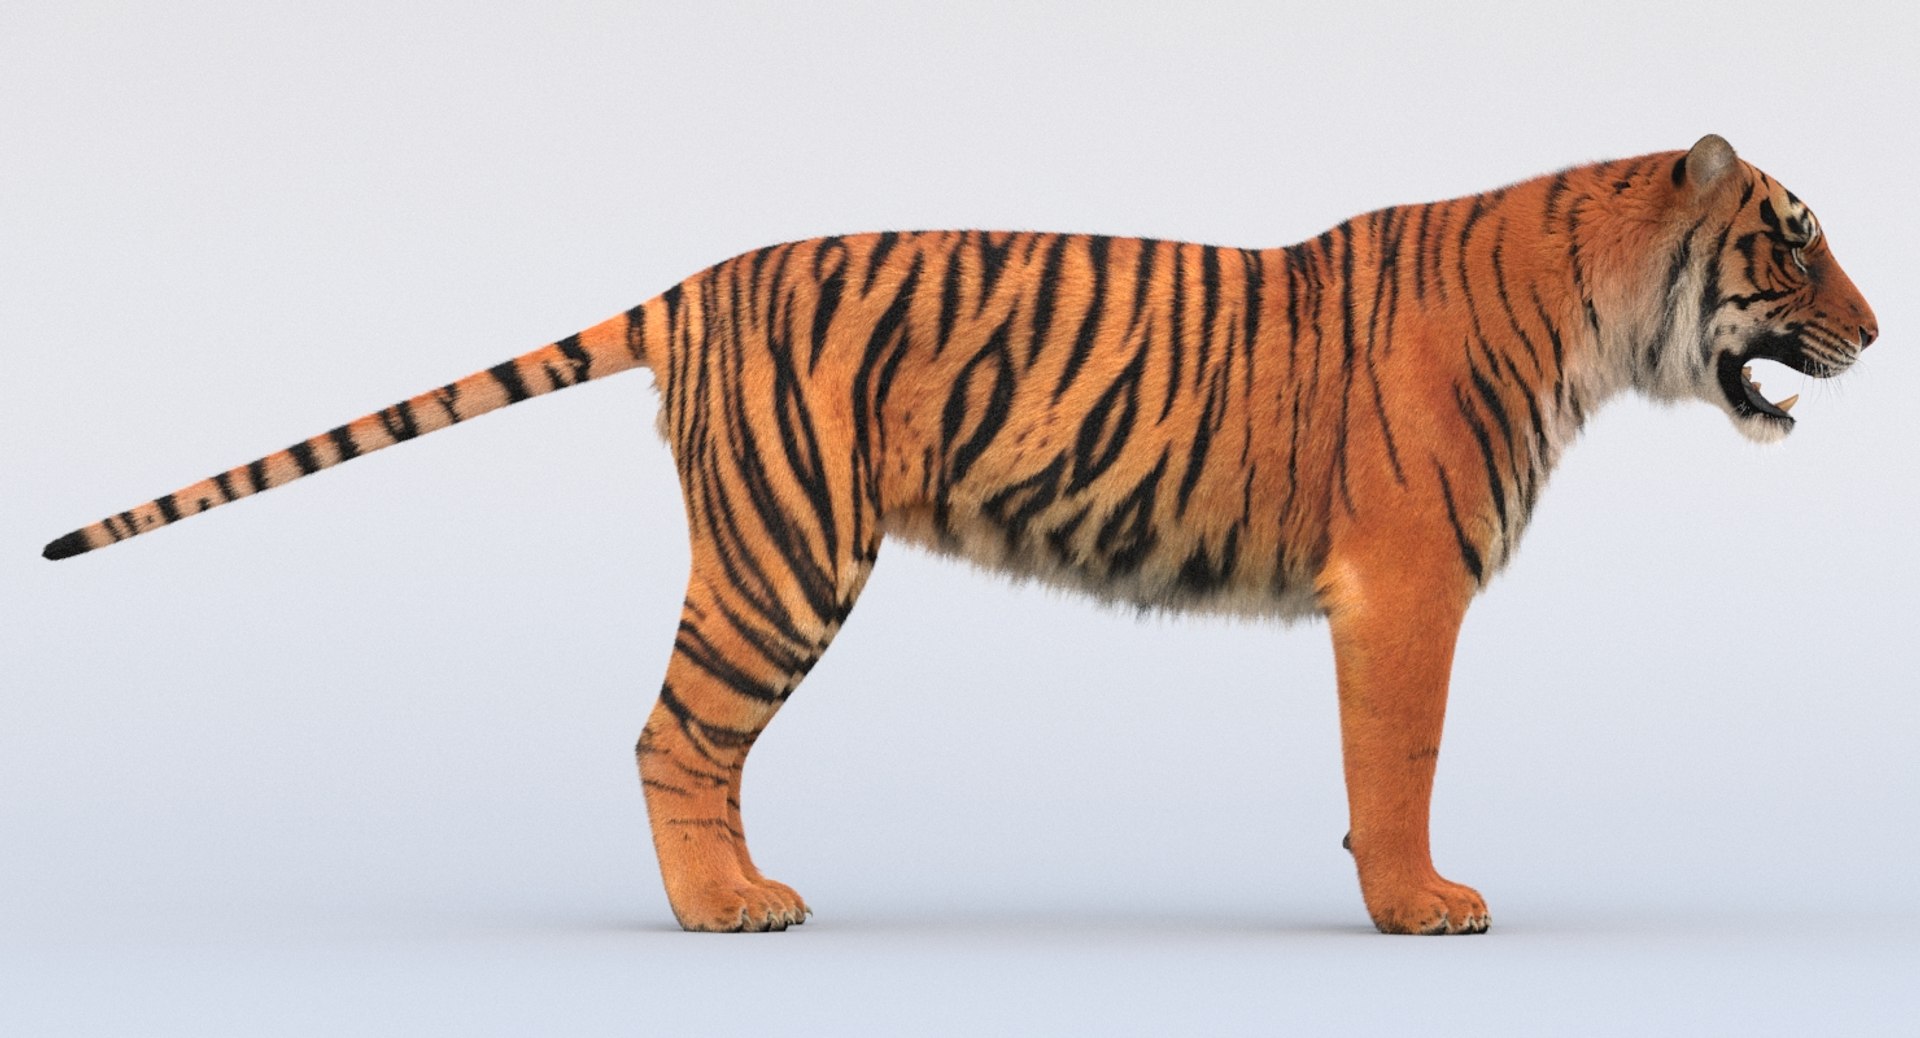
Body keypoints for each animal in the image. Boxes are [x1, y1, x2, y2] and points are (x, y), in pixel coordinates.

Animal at [42, 134, 1878, 935]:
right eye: (1792, 242)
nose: (1877, 328)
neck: (1599, 324)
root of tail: (696, 281)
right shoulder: (1408, 587)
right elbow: (1400, 755)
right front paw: (1420, 903)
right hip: (785, 552)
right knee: (673, 732)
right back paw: (728, 909)